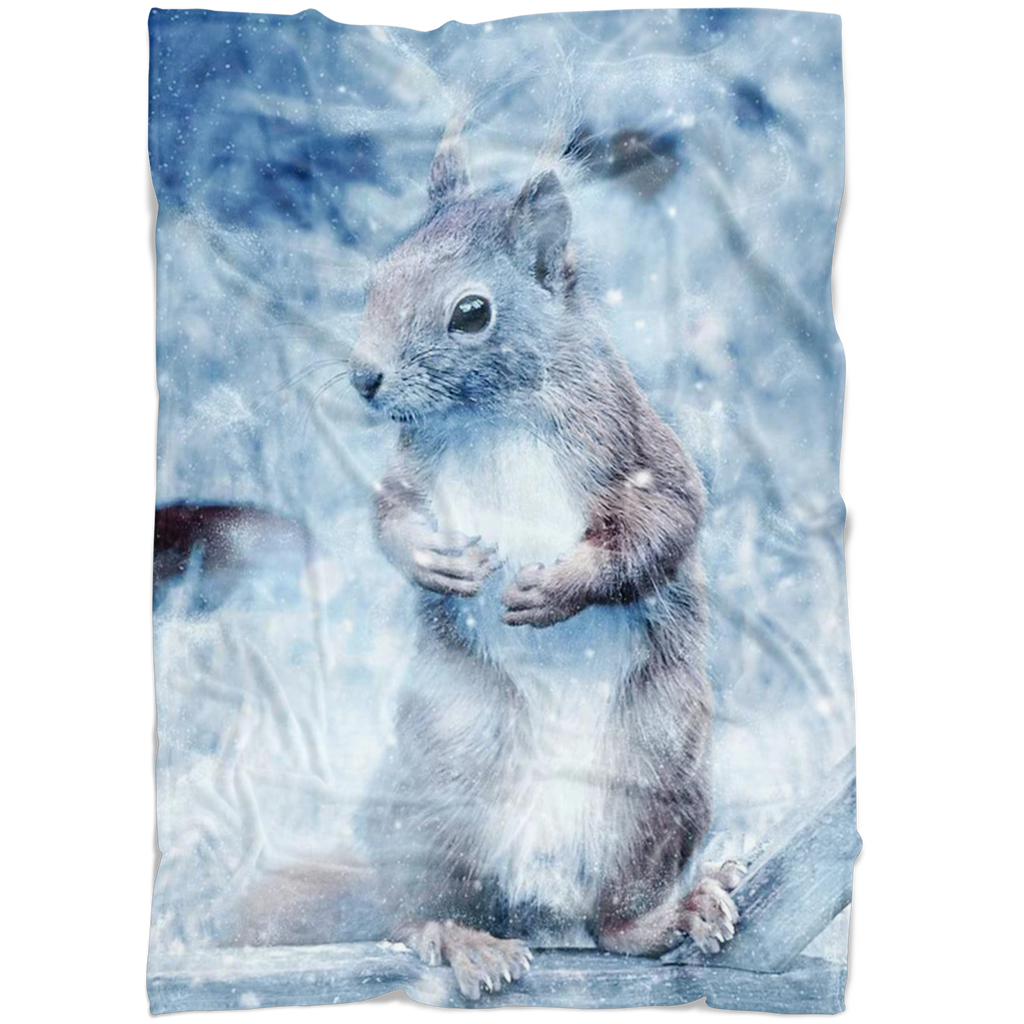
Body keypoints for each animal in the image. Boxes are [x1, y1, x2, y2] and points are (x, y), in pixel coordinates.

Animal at [339, 130, 745, 1000]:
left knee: (614, 922)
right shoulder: (409, 472)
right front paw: (436, 563)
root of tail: (543, 896)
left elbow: (666, 524)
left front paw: (555, 590)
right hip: (441, 774)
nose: (364, 378)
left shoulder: (634, 444)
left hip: (660, 775)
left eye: (472, 312)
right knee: (420, 905)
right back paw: (464, 939)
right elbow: (388, 518)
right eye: (377, 278)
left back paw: (679, 911)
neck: (486, 412)